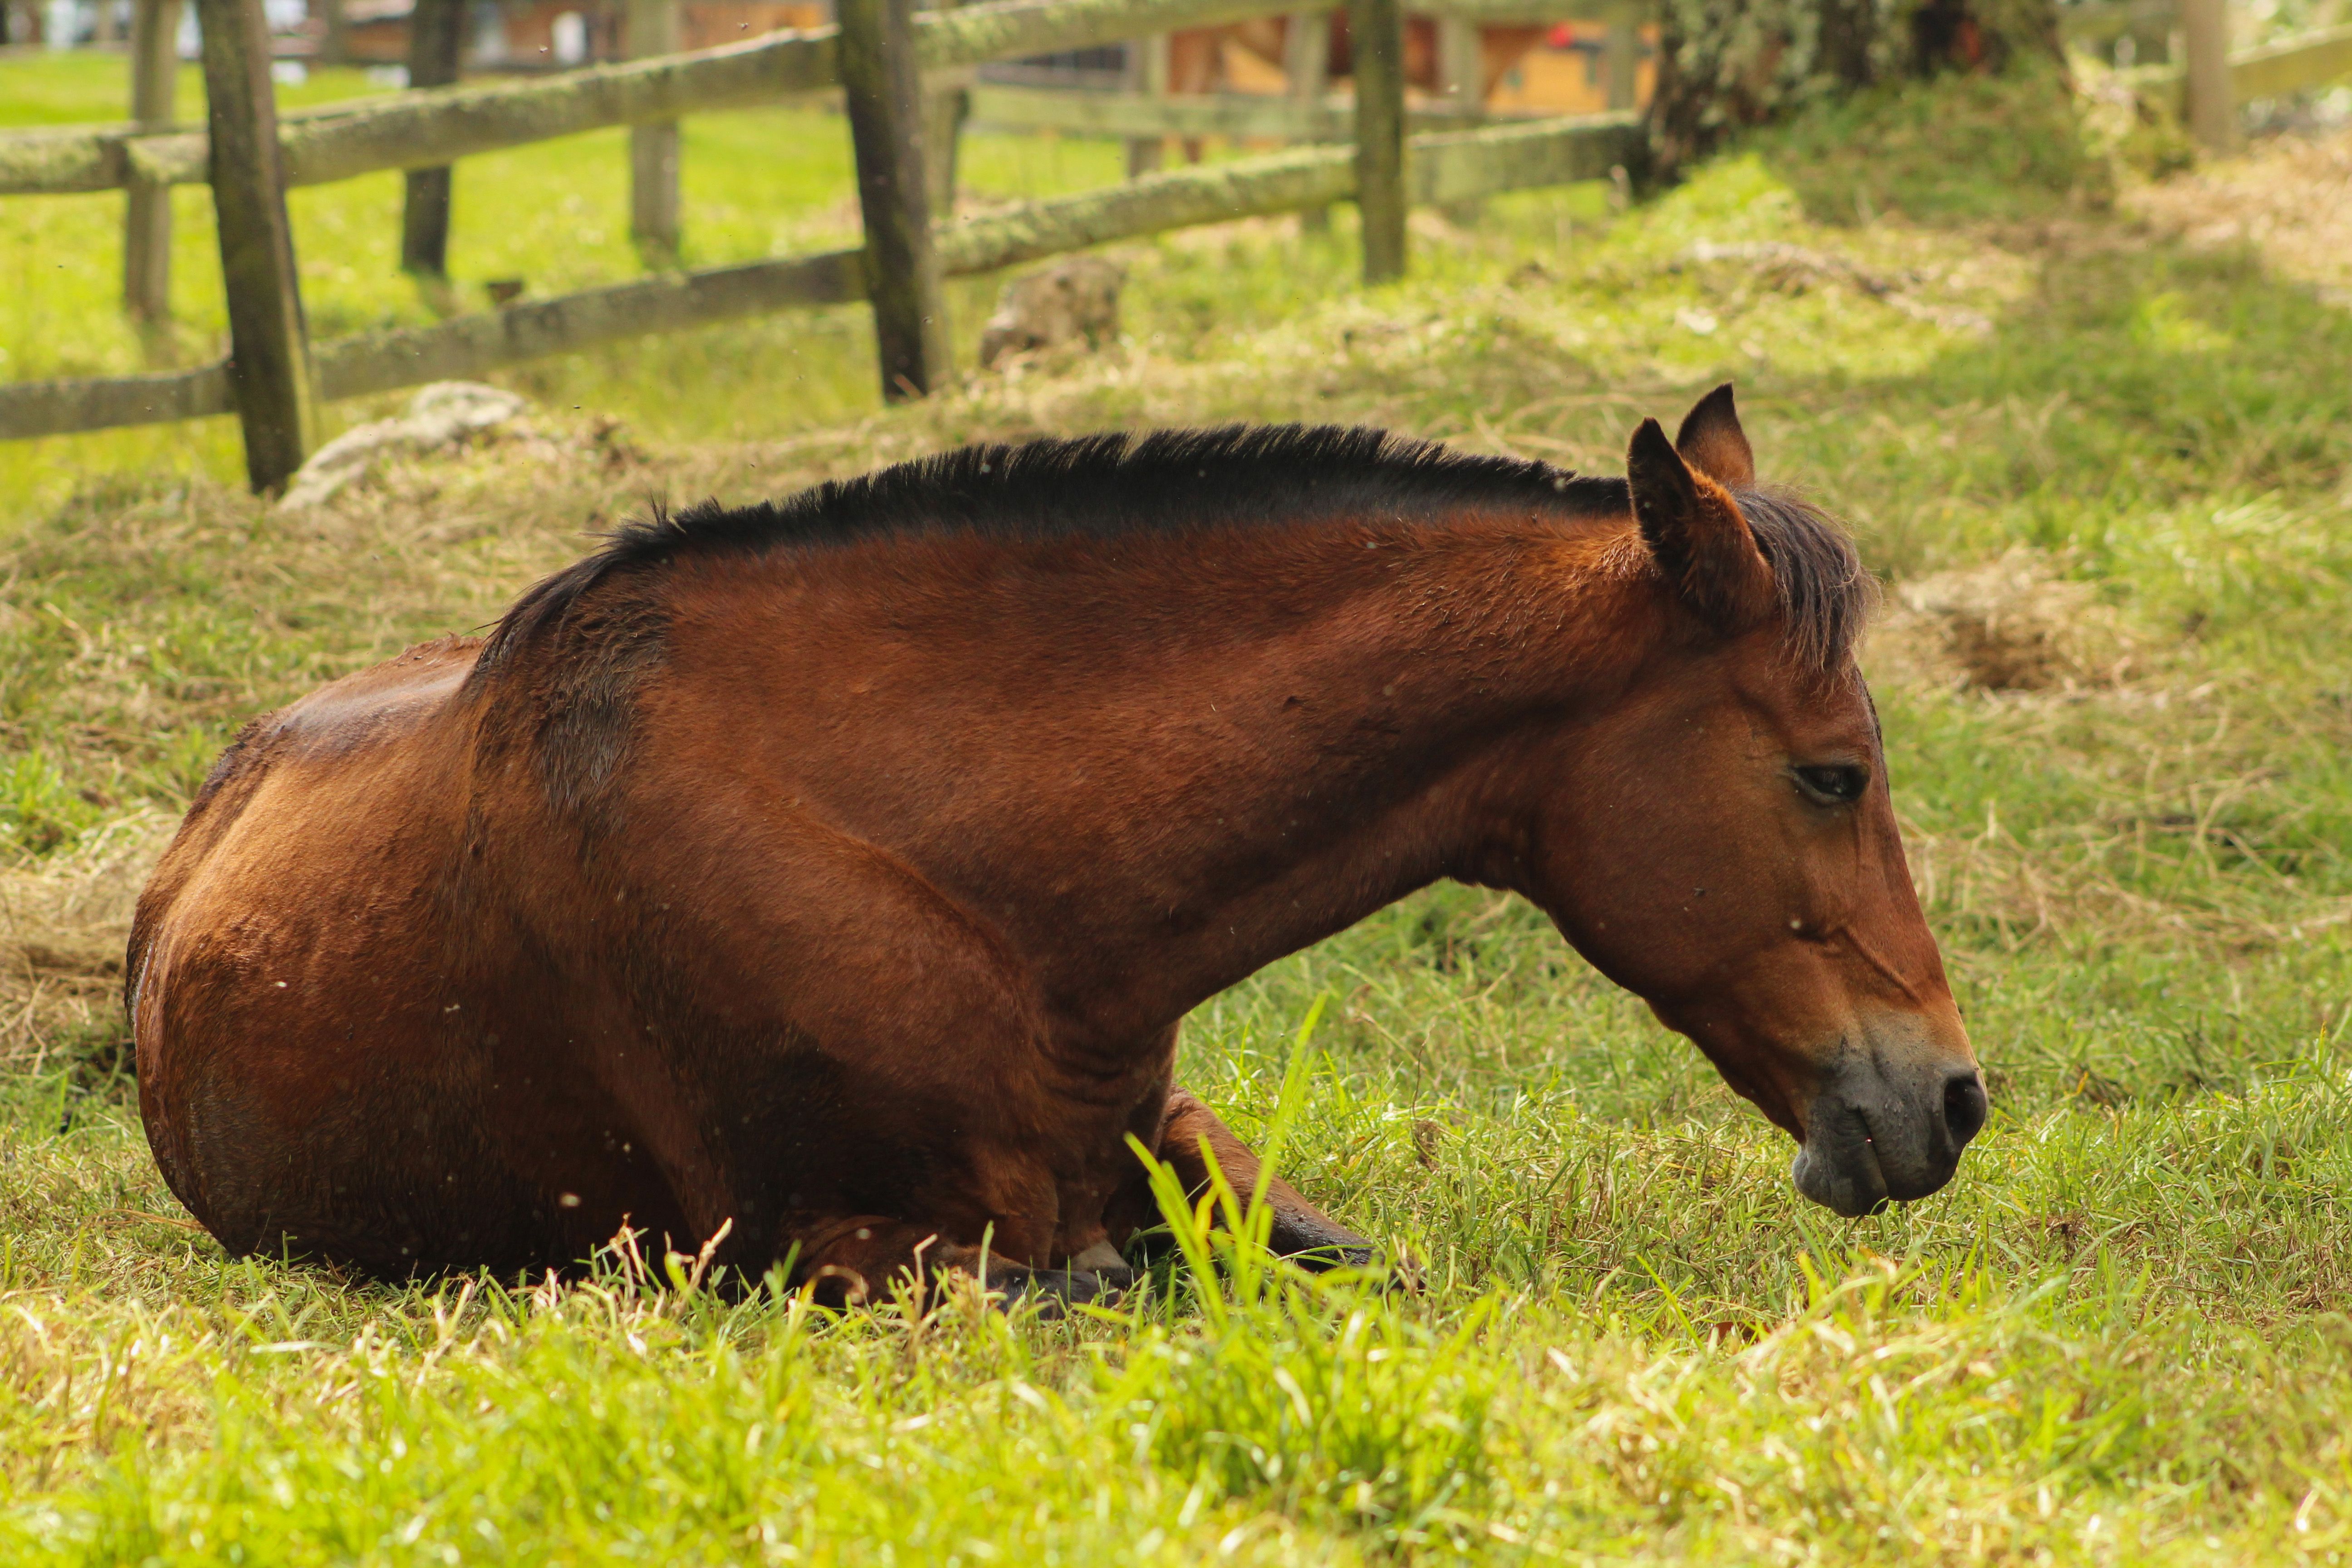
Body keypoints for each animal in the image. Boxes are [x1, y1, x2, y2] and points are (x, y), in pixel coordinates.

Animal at [128, 386, 1986, 1304]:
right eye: (1831, 776)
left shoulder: (1188, 1165)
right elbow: (1093, 1292)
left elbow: (1368, 1274)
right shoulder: (835, 1248)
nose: (1950, 1099)